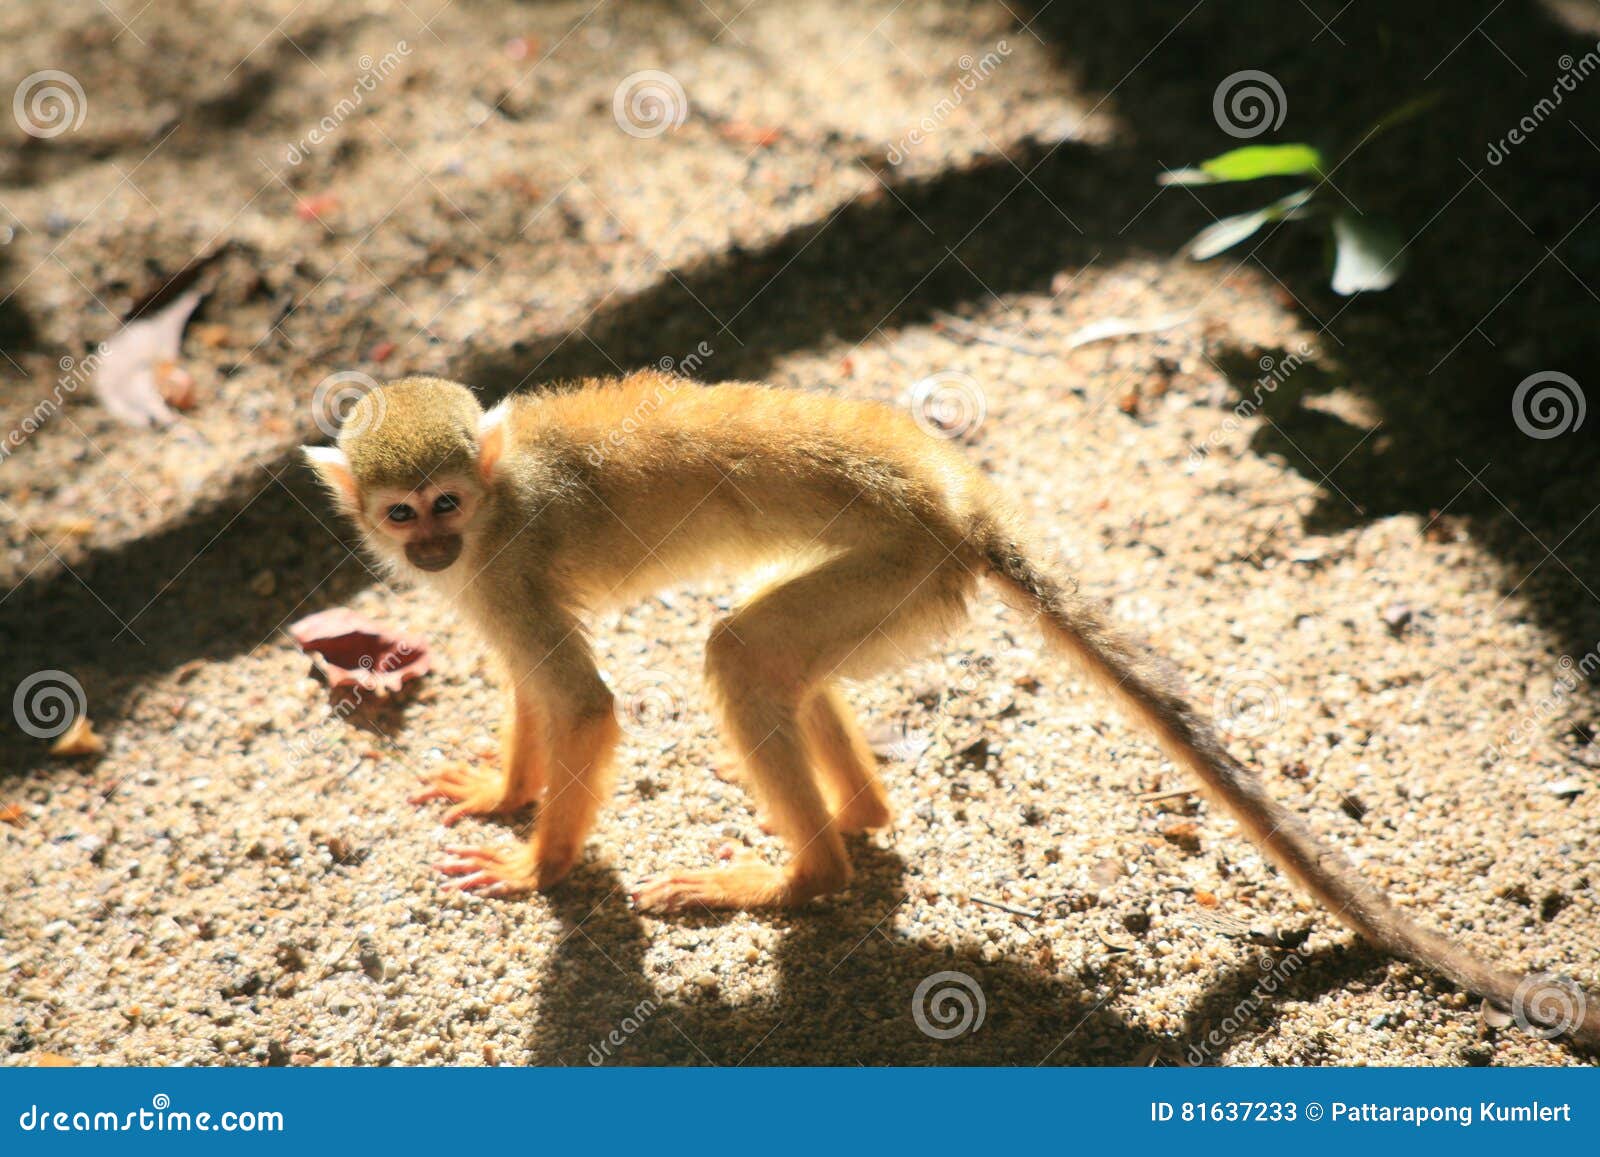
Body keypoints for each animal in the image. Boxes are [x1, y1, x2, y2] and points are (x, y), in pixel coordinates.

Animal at [303, 371, 1599, 1047]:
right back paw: (858, 820)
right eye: (402, 512)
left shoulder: (506, 564)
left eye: (447, 500)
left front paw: (538, 866)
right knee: (774, 653)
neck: (496, 511)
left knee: (739, 650)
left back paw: (804, 876)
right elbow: (537, 698)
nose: (428, 544)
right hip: (909, 585)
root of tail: (955, 492)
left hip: (904, 561)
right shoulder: (483, 587)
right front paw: (502, 792)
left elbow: (582, 705)